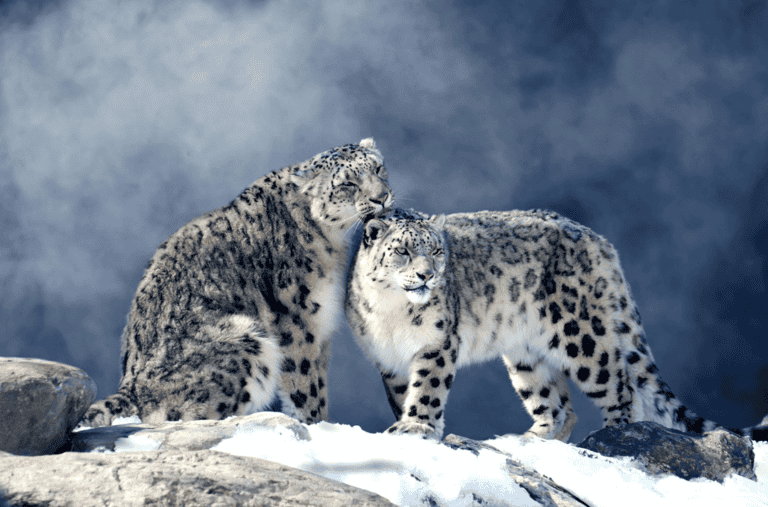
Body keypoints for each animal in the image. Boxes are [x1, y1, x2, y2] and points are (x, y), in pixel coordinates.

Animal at [80, 138, 393, 427]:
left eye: (379, 168)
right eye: (348, 183)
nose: (382, 197)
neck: (333, 241)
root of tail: (129, 386)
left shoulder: (321, 329)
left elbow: (320, 383)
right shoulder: (298, 324)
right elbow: (306, 386)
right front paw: (318, 426)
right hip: (245, 340)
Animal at [345, 208, 768, 442]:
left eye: (435, 250)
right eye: (402, 251)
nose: (427, 275)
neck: (393, 313)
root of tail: (597, 239)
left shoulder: (436, 344)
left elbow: (428, 389)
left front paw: (416, 427)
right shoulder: (389, 361)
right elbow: (403, 394)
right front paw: (408, 424)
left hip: (582, 335)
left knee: (621, 384)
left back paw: (611, 434)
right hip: (525, 353)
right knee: (557, 403)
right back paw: (528, 440)